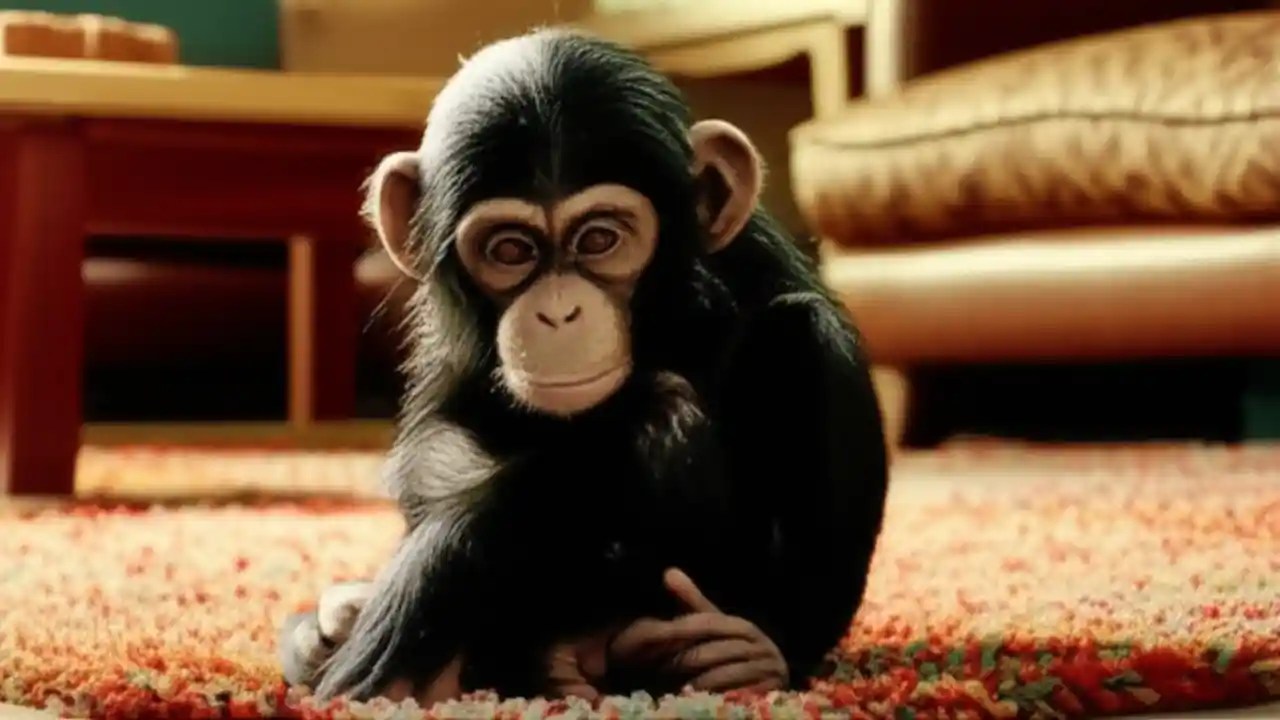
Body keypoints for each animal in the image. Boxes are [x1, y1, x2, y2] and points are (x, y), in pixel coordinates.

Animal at [277, 26, 888, 705]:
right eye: (510, 250)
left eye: (600, 239)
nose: (558, 312)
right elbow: (440, 447)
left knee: (805, 333)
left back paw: (737, 659)